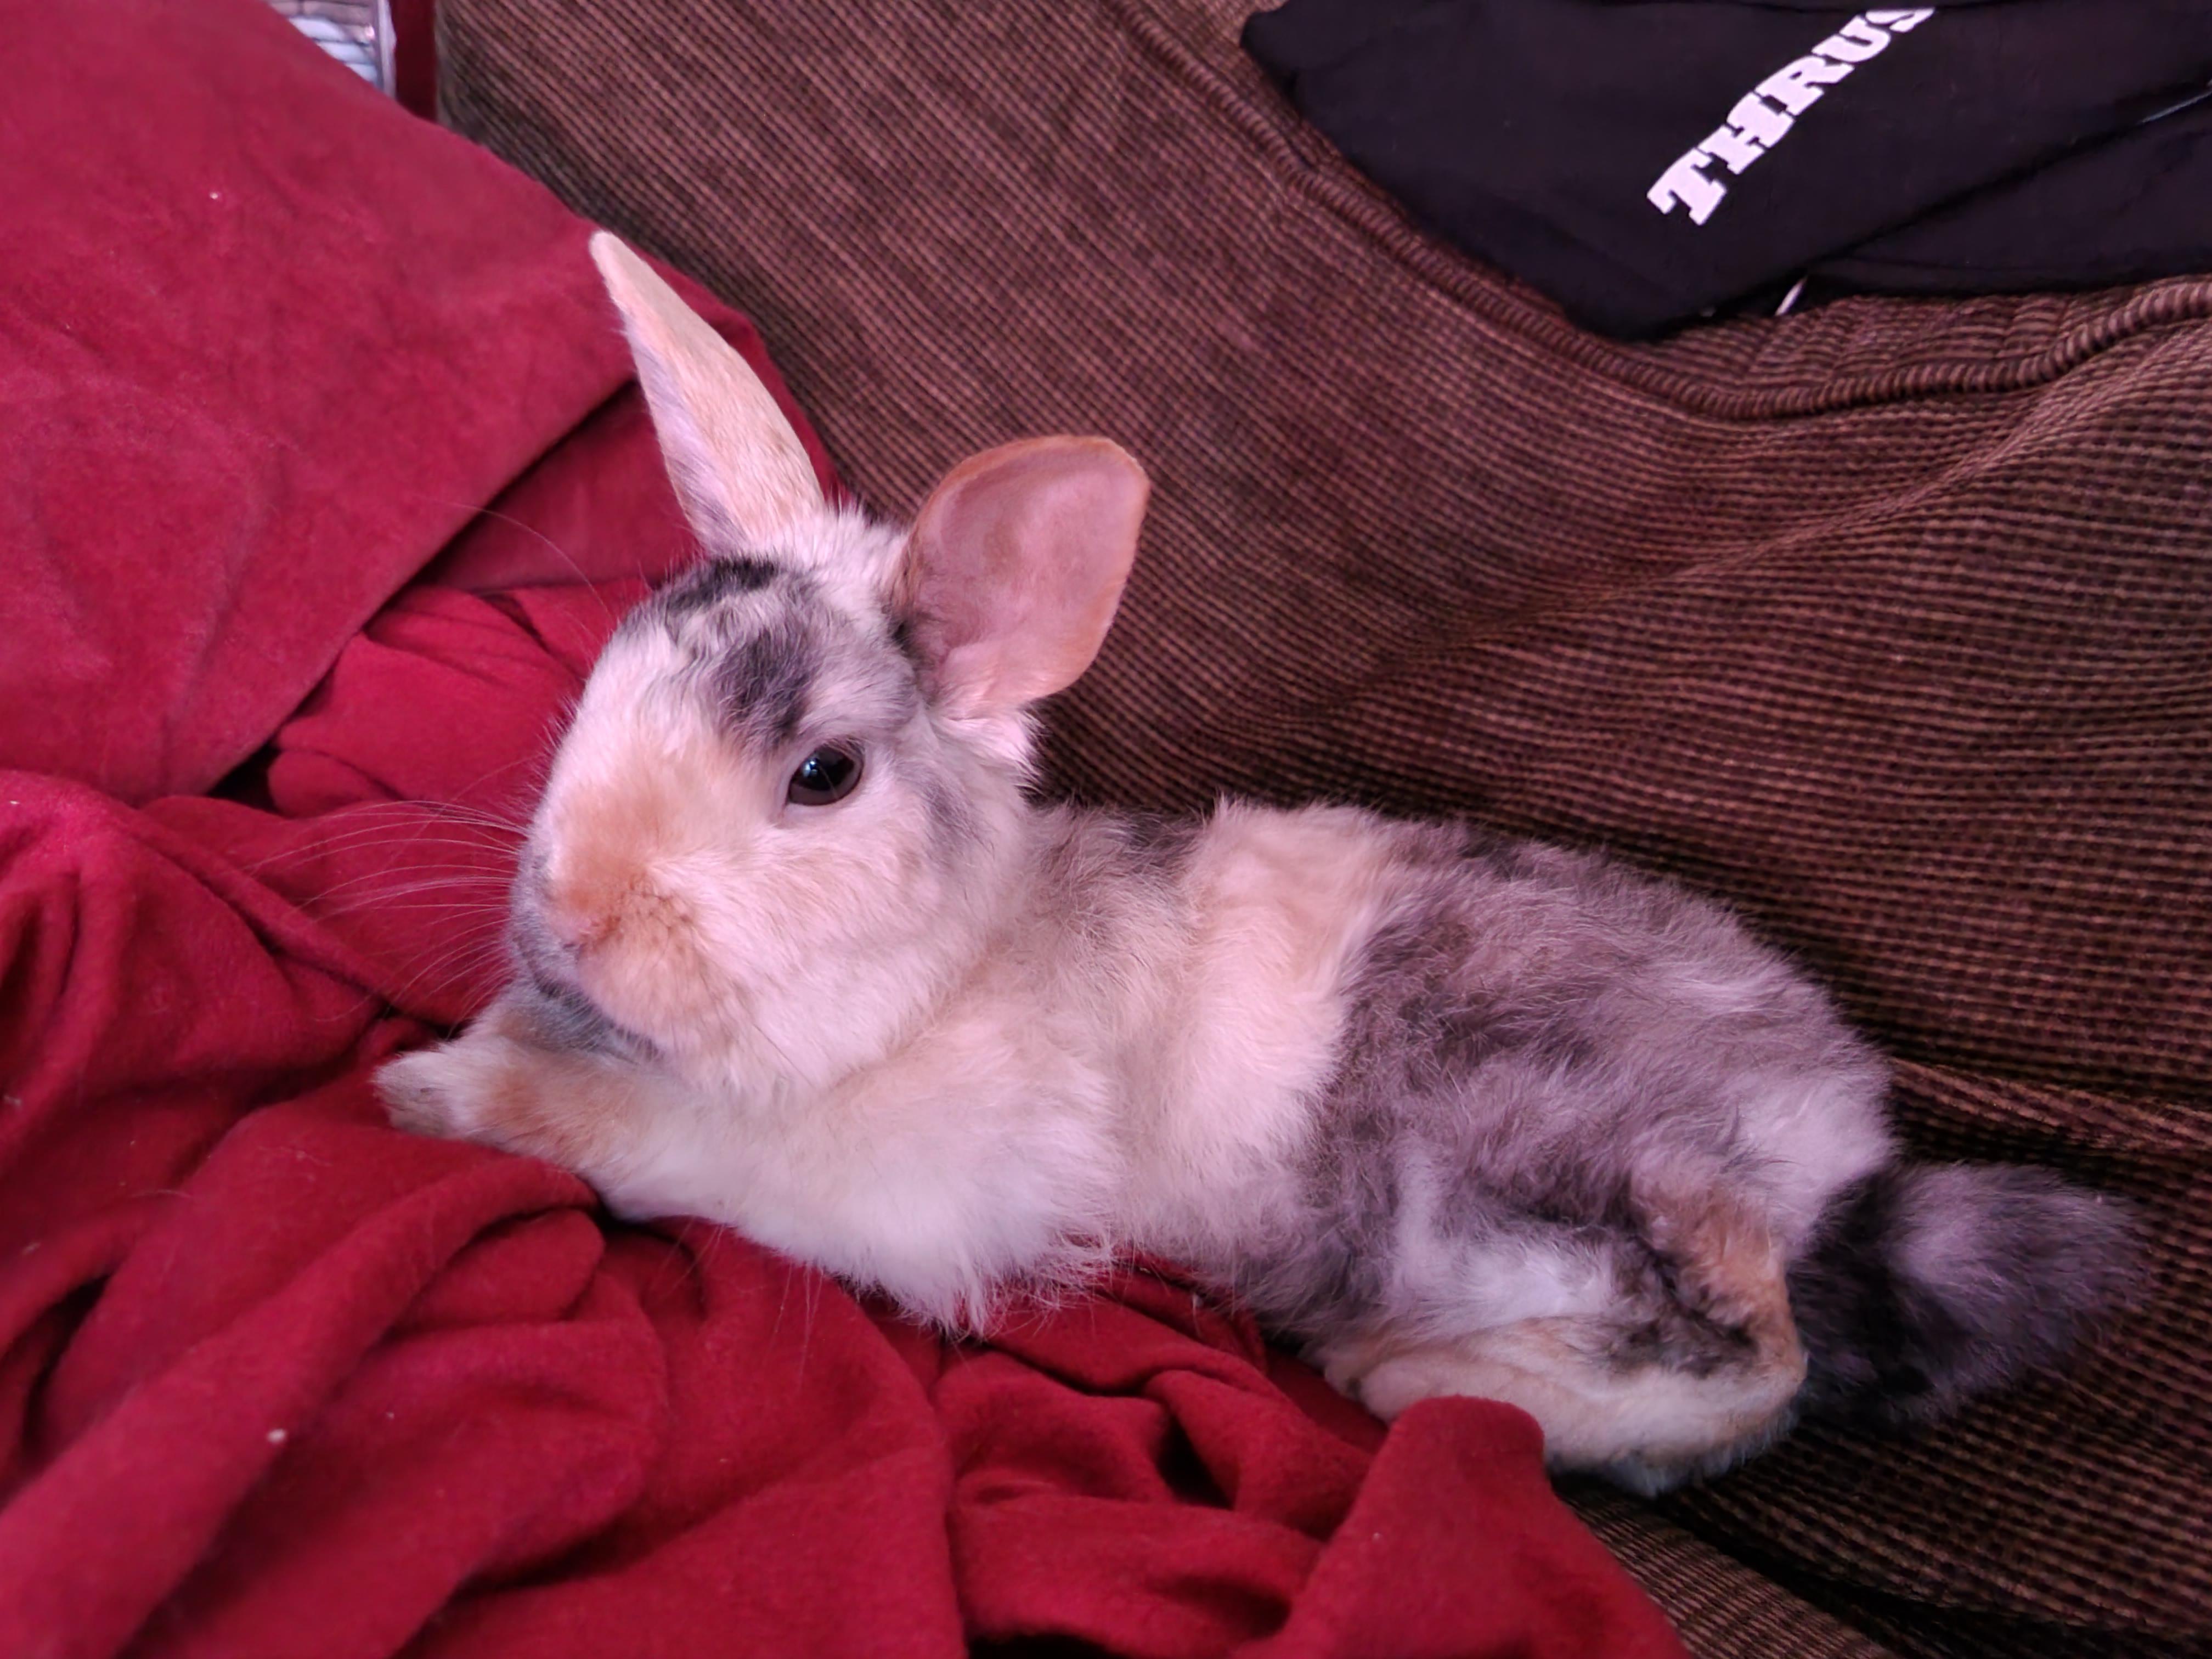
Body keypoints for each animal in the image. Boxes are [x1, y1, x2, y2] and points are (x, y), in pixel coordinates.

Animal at [379, 233, 2138, 1492]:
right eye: (609, 671)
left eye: (822, 776)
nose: (568, 919)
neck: (944, 972)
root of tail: (1854, 1160)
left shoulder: (865, 1181)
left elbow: (645, 1136)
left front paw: (435, 1092)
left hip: (1524, 1168)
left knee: (1753, 1346)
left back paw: (1414, 1380)